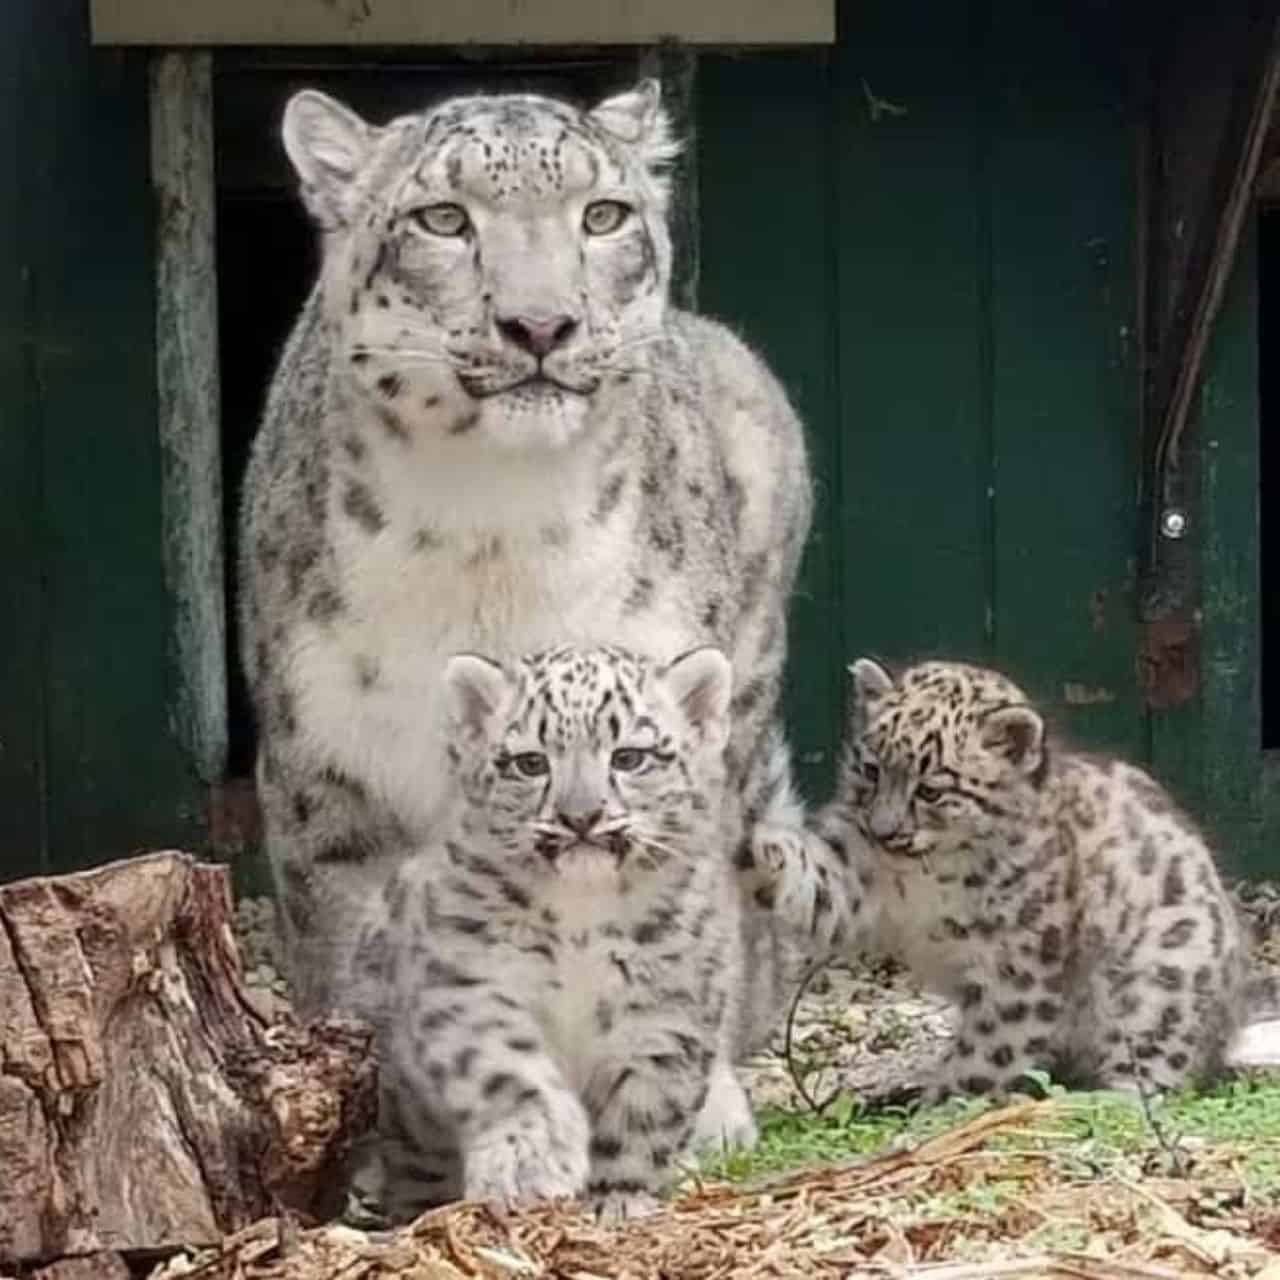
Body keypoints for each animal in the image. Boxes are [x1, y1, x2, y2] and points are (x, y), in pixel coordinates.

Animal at [237, 75, 813, 1075]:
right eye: (442, 217)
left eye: (604, 213)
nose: (541, 324)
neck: (492, 533)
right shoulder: (330, 764)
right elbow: (351, 951)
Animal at [343, 643, 755, 1223]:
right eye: (530, 762)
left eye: (630, 757)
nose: (580, 816)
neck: (583, 917)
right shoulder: (467, 981)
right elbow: (508, 1068)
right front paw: (529, 1162)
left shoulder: (666, 1010)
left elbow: (644, 1114)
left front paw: (620, 1200)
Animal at [746, 657, 1248, 1101]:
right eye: (871, 769)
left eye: (931, 789)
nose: (884, 831)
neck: (925, 876)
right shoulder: (853, 869)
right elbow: (816, 878)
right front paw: (758, 842)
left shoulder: (1015, 967)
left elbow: (989, 1053)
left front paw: (940, 1105)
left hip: (1160, 986)